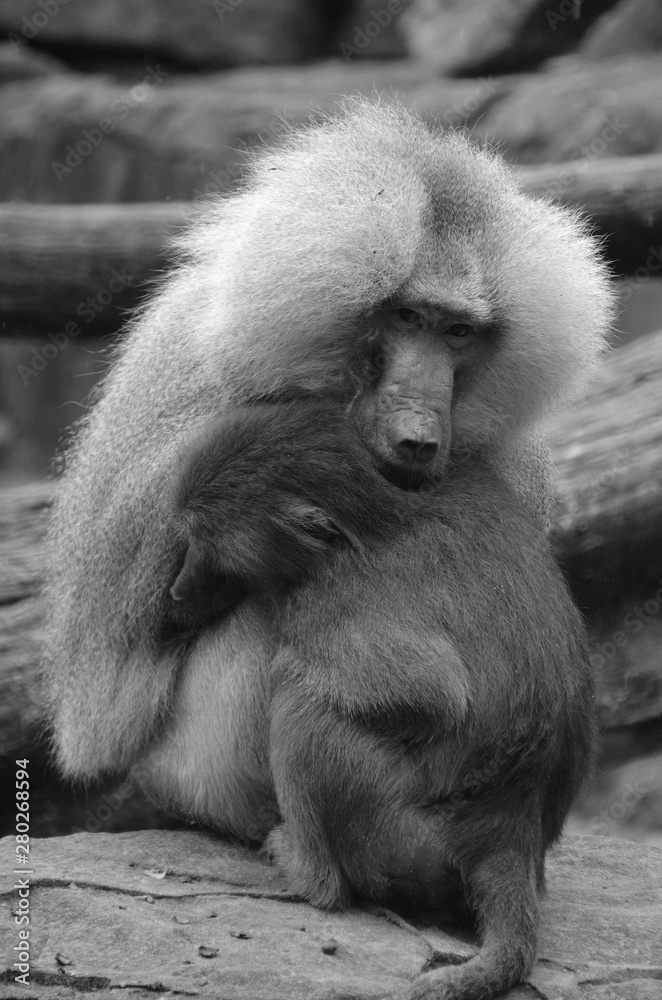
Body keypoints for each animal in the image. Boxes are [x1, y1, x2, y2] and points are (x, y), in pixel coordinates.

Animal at [166, 395, 596, 999]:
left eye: (210, 548)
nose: (176, 591)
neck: (376, 515)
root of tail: (509, 832)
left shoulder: (334, 601)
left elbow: (430, 694)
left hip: (402, 837)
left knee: (303, 704)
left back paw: (308, 874)